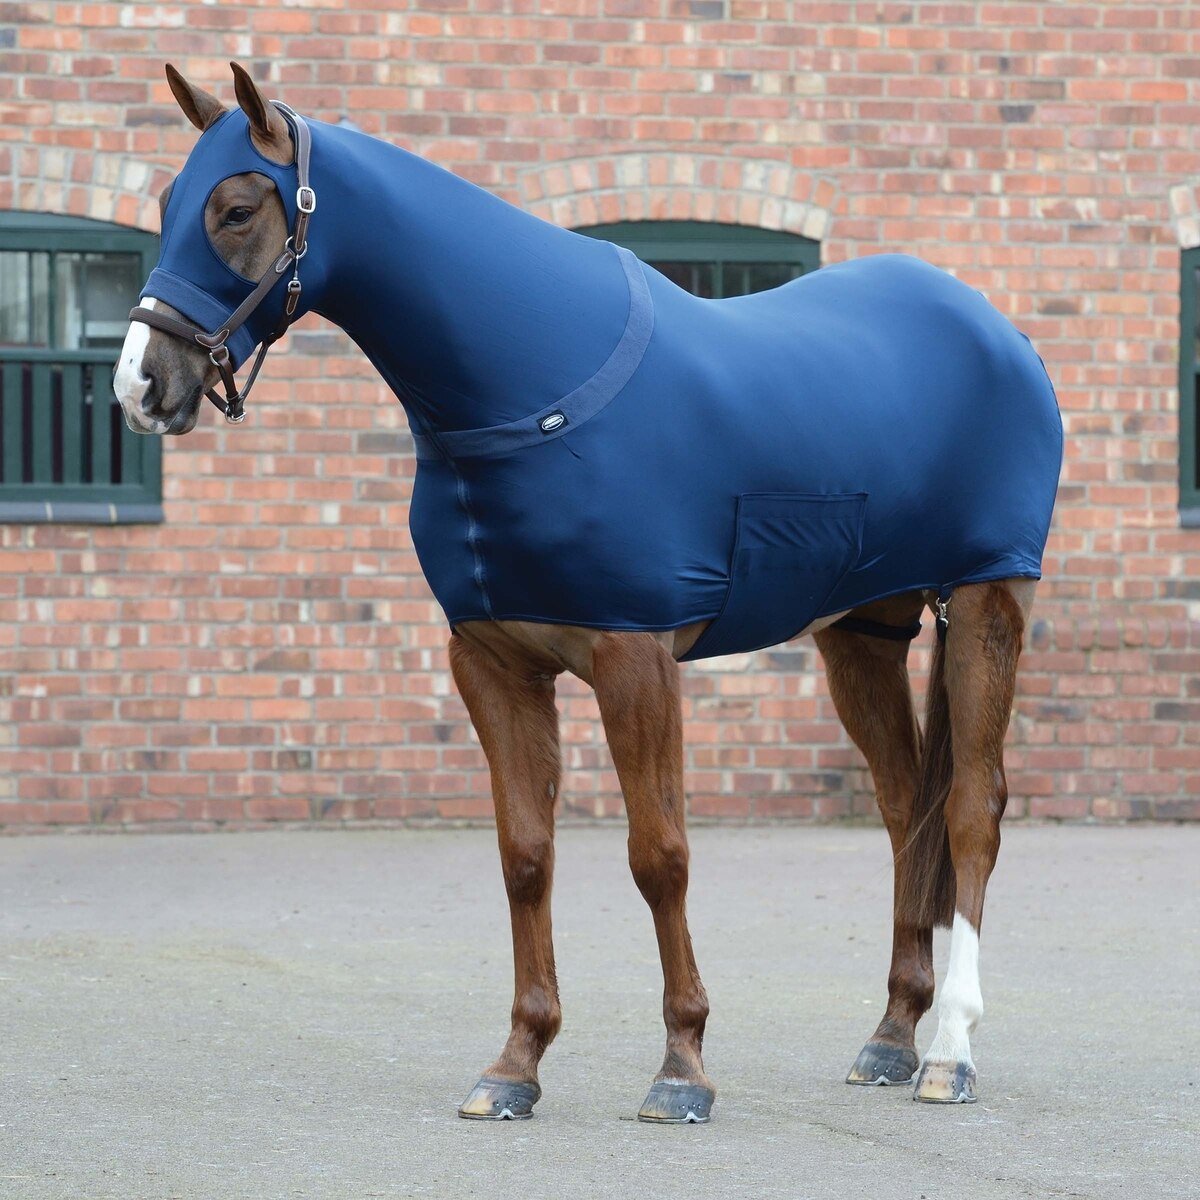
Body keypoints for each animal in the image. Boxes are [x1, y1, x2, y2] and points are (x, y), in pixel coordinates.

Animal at [114, 64, 1063, 1123]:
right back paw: (891, 1036)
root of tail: (996, 328)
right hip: (862, 633)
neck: (534, 384)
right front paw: (515, 1066)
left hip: (987, 603)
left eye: (236, 208)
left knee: (973, 810)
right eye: (169, 201)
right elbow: (526, 856)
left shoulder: (634, 655)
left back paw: (950, 1052)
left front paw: (682, 1068)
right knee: (907, 811)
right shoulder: (491, 662)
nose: (141, 385)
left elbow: (660, 858)